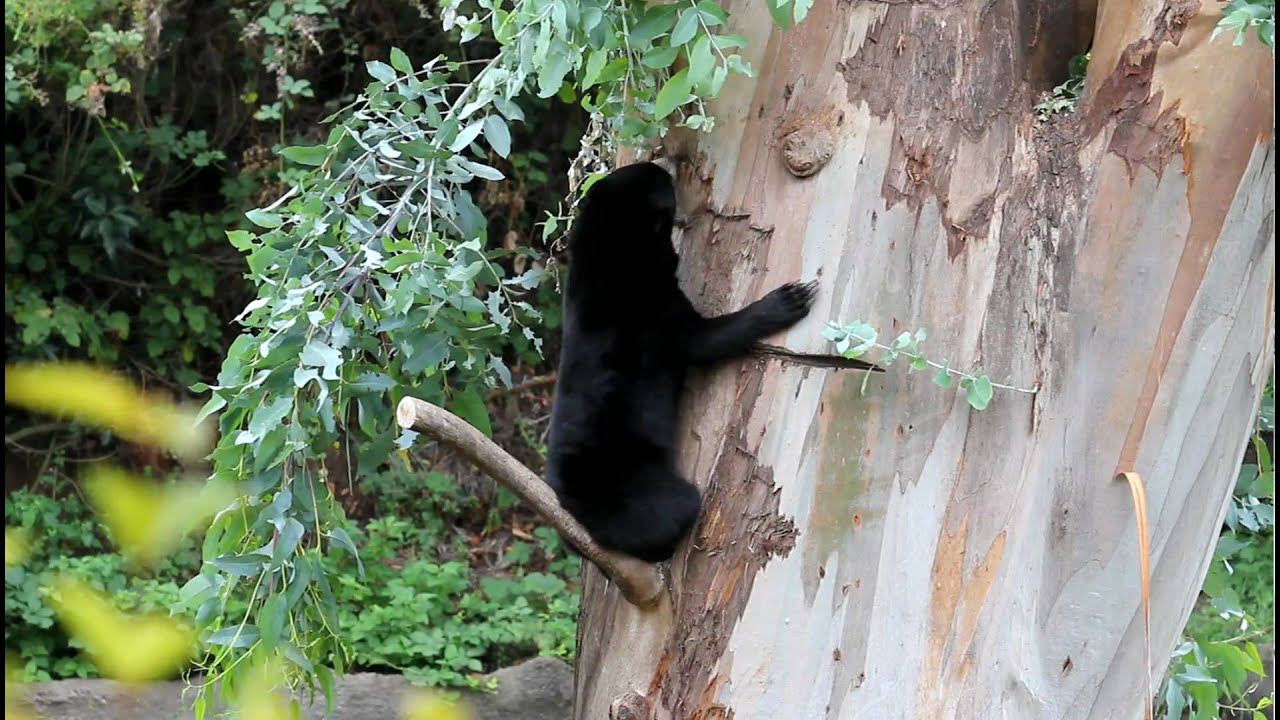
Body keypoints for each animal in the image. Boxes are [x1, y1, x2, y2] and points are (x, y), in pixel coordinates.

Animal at [545, 159, 818, 563]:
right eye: (659, 183)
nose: (660, 162)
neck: (612, 253)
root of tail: (574, 507)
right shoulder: (660, 309)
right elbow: (707, 339)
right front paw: (788, 299)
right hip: (647, 491)